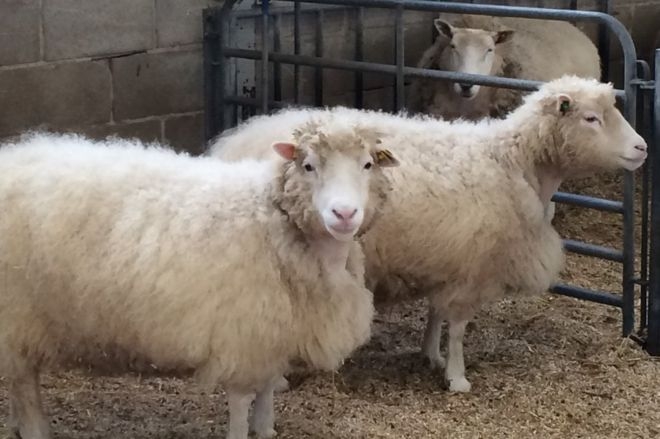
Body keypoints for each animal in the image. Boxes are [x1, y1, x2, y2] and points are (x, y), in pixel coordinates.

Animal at [0, 123, 400, 439]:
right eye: (308, 165)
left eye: (367, 165)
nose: (344, 214)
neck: (271, 218)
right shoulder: (243, 334)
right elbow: (241, 400)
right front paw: (242, 432)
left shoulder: (272, 332)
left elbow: (268, 390)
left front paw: (266, 428)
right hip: (17, 316)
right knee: (24, 385)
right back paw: (35, 431)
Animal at [207, 76, 648, 393]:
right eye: (591, 118)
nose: (642, 148)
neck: (514, 162)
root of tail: (232, 144)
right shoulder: (474, 266)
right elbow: (459, 327)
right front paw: (457, 377)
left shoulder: (448, 257)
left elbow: (436, 313)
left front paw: (431, 354)